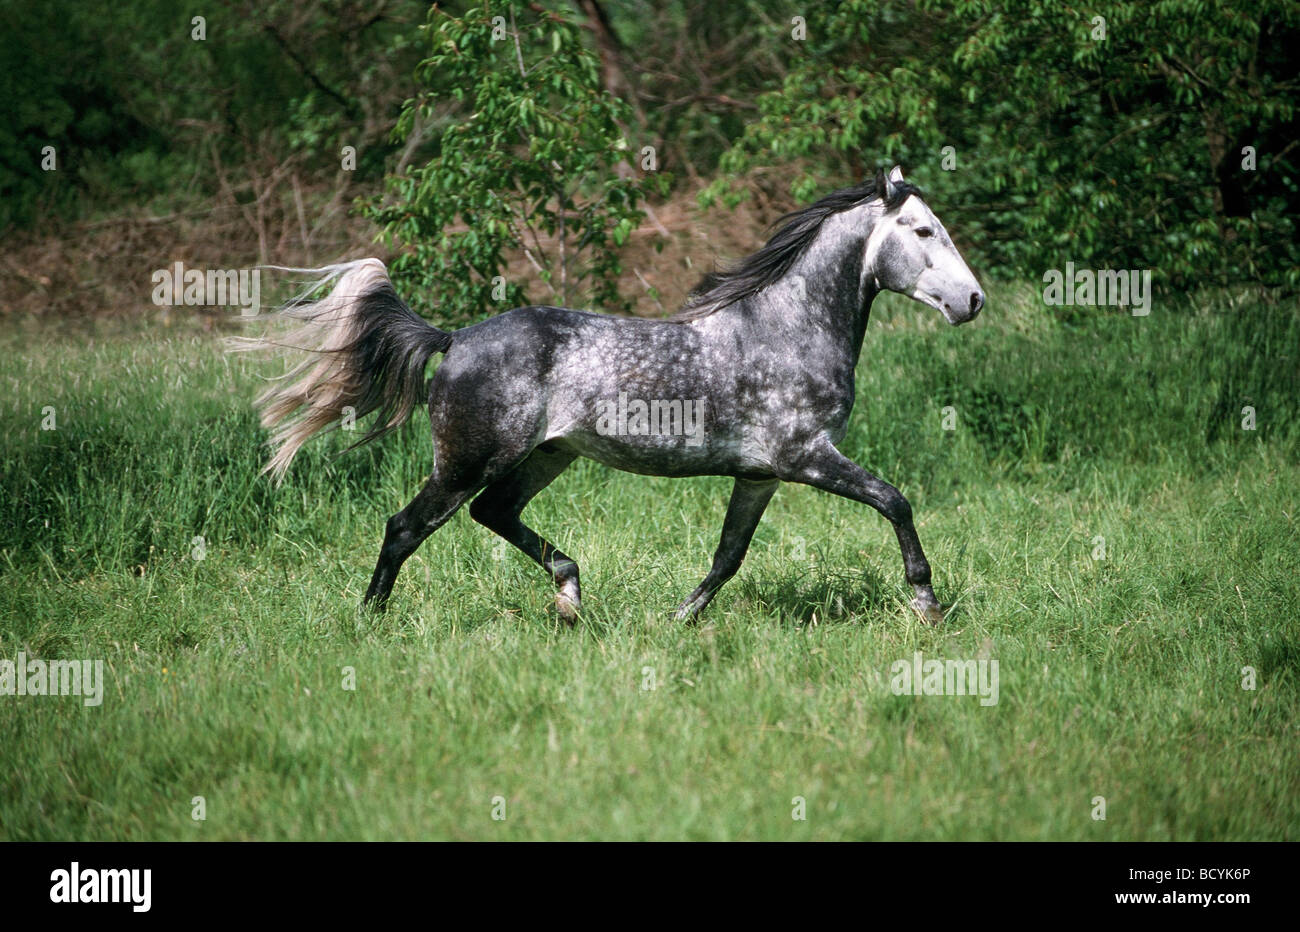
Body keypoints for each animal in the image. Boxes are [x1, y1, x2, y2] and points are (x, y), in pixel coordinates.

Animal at [235, 166, 983, 625]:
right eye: (923, 231)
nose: (973, 301)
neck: (782, 328)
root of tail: (455, 338)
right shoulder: (806, 456)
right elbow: (895, 501)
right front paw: (927, 604)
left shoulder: (760, 474)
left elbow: (729, 555)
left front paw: (680, 619)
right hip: (469, 461)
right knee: (405, 527)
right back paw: (370, 619)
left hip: (547, 456)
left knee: (492, 514)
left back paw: (569, 595)